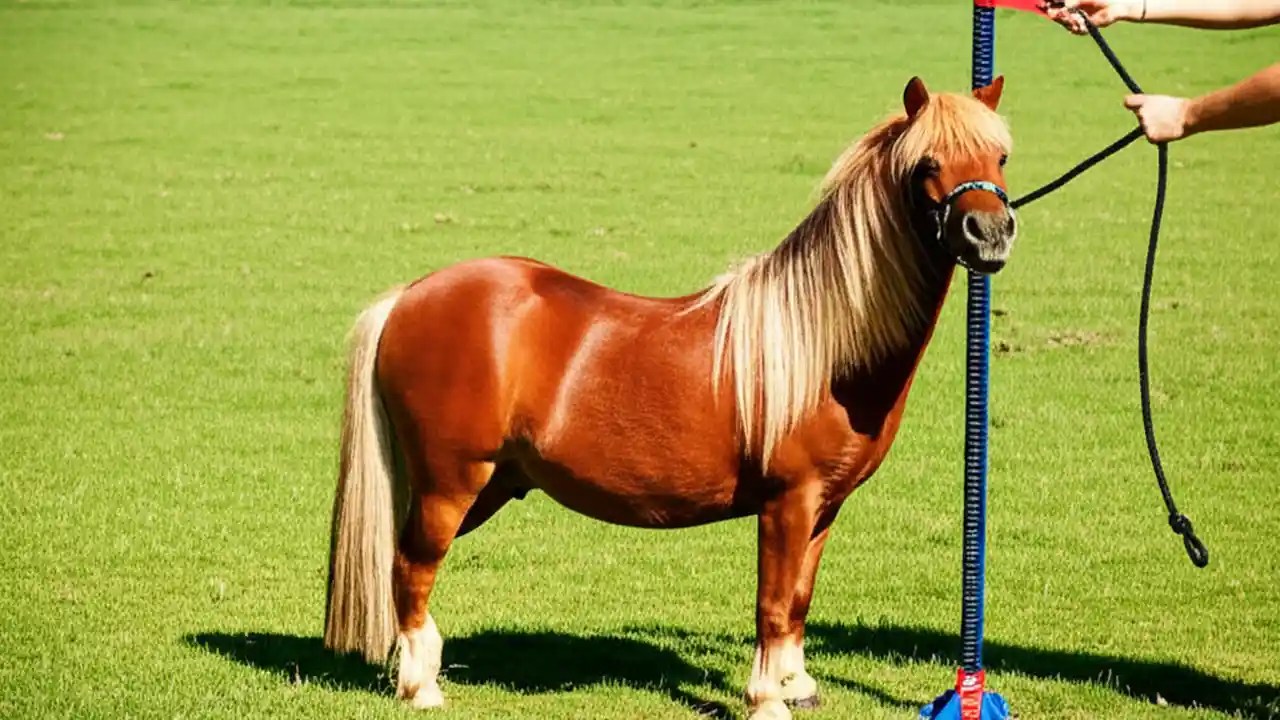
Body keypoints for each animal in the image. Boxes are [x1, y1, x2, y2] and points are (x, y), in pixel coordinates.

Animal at [322, 75, 1016, 720]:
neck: (825, 345)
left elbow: (798, 600)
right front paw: (766, 698)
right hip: (451, 484)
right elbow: (771, 602)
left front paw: (797, 684)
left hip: (484, 484)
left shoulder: (824, 507)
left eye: (1000, 157)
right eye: (927, 164)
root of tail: (408, 297)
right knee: (411, 569)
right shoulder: (787, 503)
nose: (989, 232)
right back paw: (422, 688)